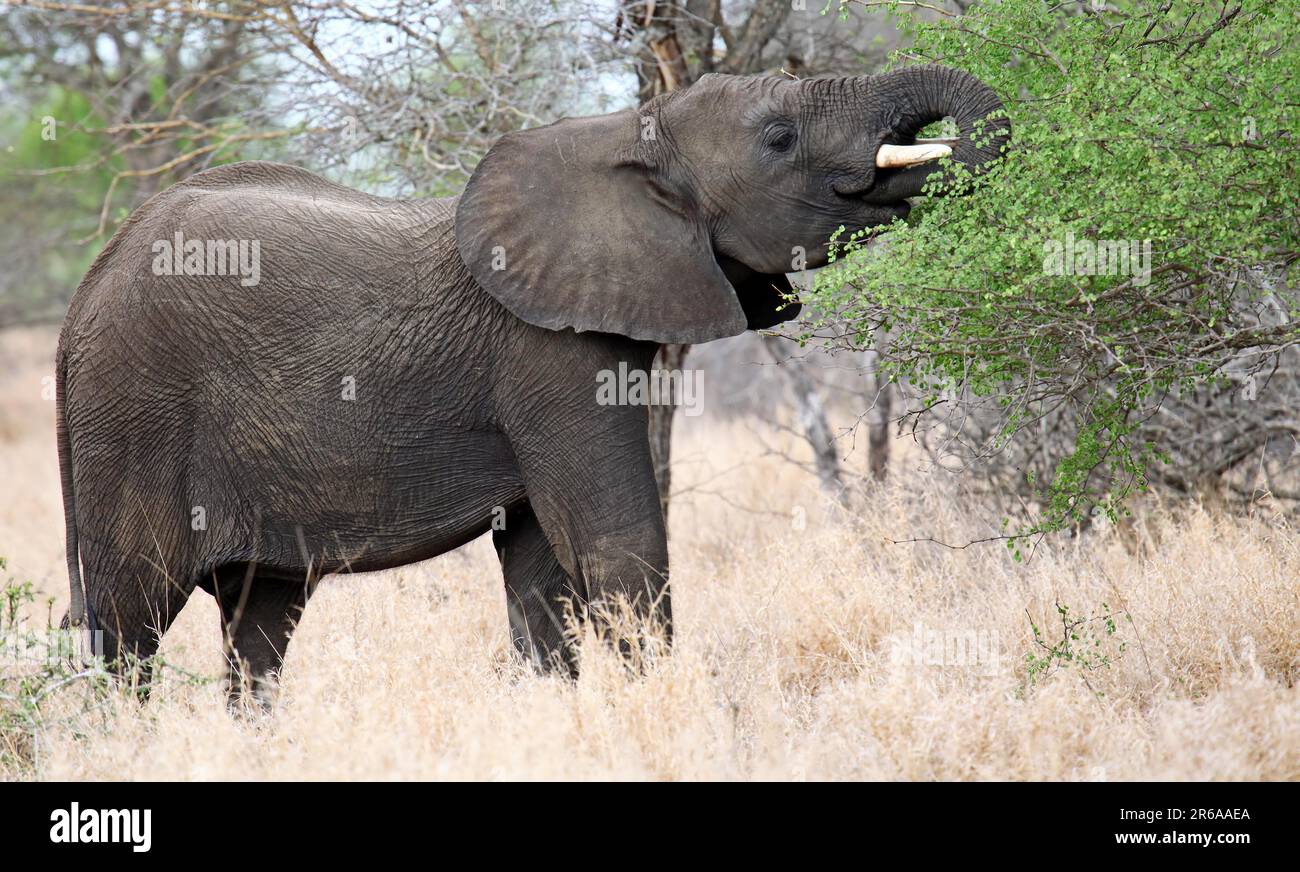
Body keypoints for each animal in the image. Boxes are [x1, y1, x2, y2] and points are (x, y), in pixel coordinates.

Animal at [55, 64, 1008, 698]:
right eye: (779, 139)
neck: (631, 130)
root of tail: (84, 294)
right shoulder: (547, 351)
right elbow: (614, 538)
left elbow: (541, 568)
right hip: (131, 413)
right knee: (128, 620)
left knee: (260, 621)